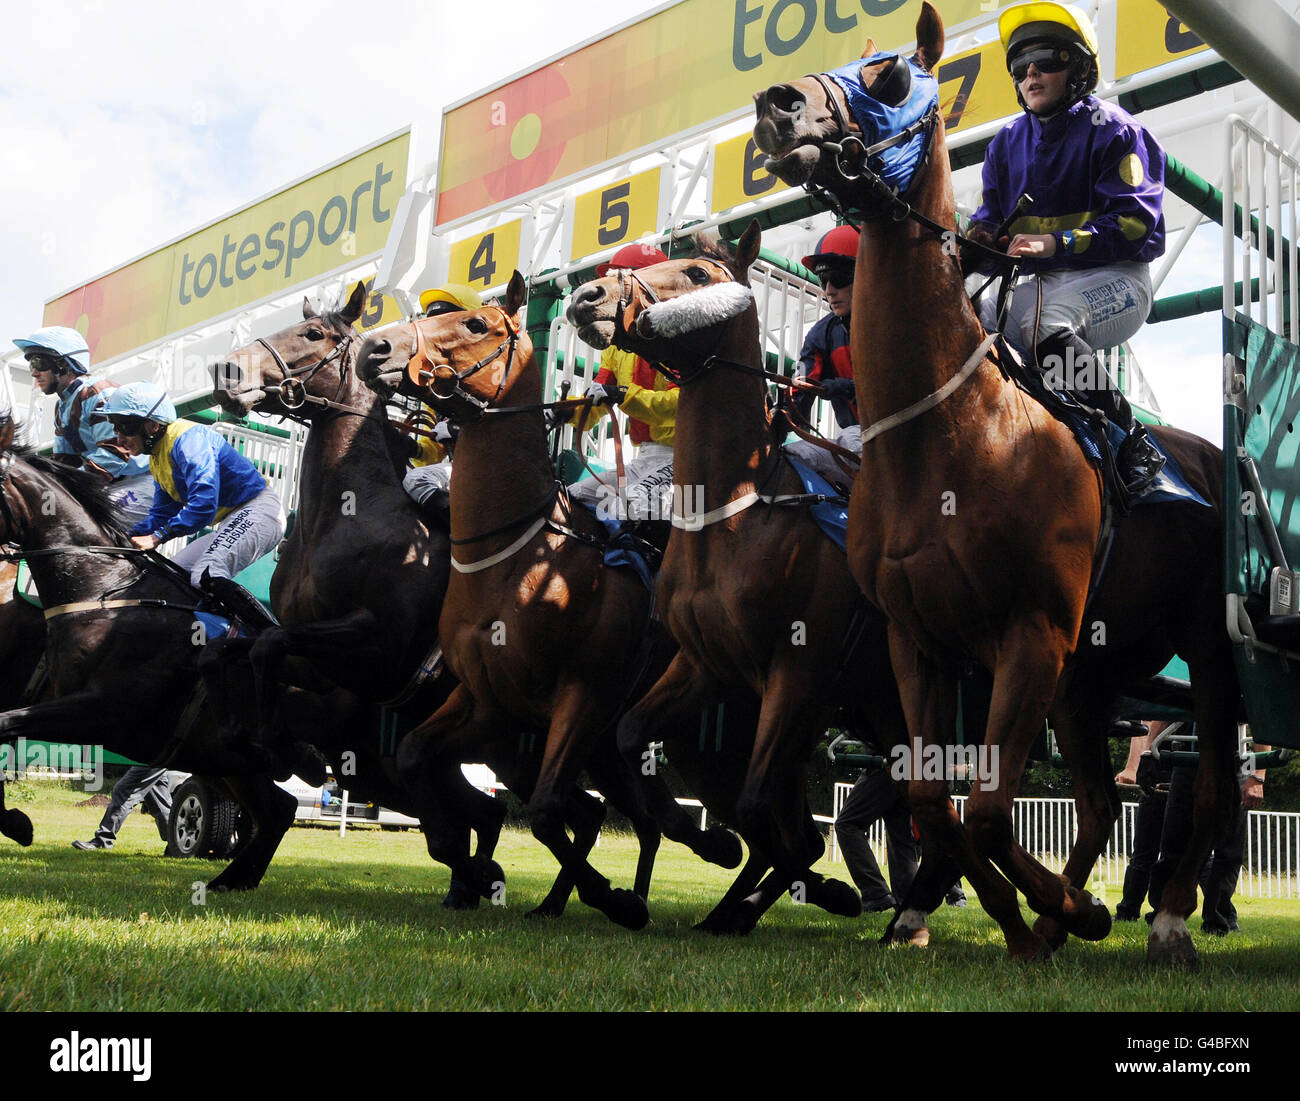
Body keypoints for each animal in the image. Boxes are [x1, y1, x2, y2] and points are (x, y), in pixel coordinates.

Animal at [213, 283, 673, 915]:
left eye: (313, 334)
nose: (226, 371)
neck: (345, 515)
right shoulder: (330, 670)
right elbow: (253, 651)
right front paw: (272, 742)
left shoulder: (376, 645)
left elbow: (270, 645)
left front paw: (286, 749)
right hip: (522, 745)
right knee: (573, 812)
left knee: (617, 816)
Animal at [354, 272, 744, 928]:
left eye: (476, 325)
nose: (374, 349)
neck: (518, 554)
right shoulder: (487, 701)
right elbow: (414, 760)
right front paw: (473, 872)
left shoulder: (581, 694)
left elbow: (543, 809)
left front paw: (612, 898)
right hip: (616, 743)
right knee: (648, 817)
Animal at [566, 224, 923, 933]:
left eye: (699, 274)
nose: (588, 296)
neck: (733, 510)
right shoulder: (708, 665)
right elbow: (631, 737)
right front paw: (711, 849)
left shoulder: (798, 671)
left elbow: (769, 815)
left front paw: (820, 888)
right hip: (877, 701)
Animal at [752, 0, 1239, 965]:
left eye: (890, 76)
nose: (777, 105)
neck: (951, 437)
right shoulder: (921, 640)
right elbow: (936, 802)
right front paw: (1025, 917)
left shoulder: (1032, 632)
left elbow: (981, 808)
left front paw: (1064, 911)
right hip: (1094, 672)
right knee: (1100, 800)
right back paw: (1064, 914)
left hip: (1206, 646)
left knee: (1207, 785)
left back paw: (1163, 919)